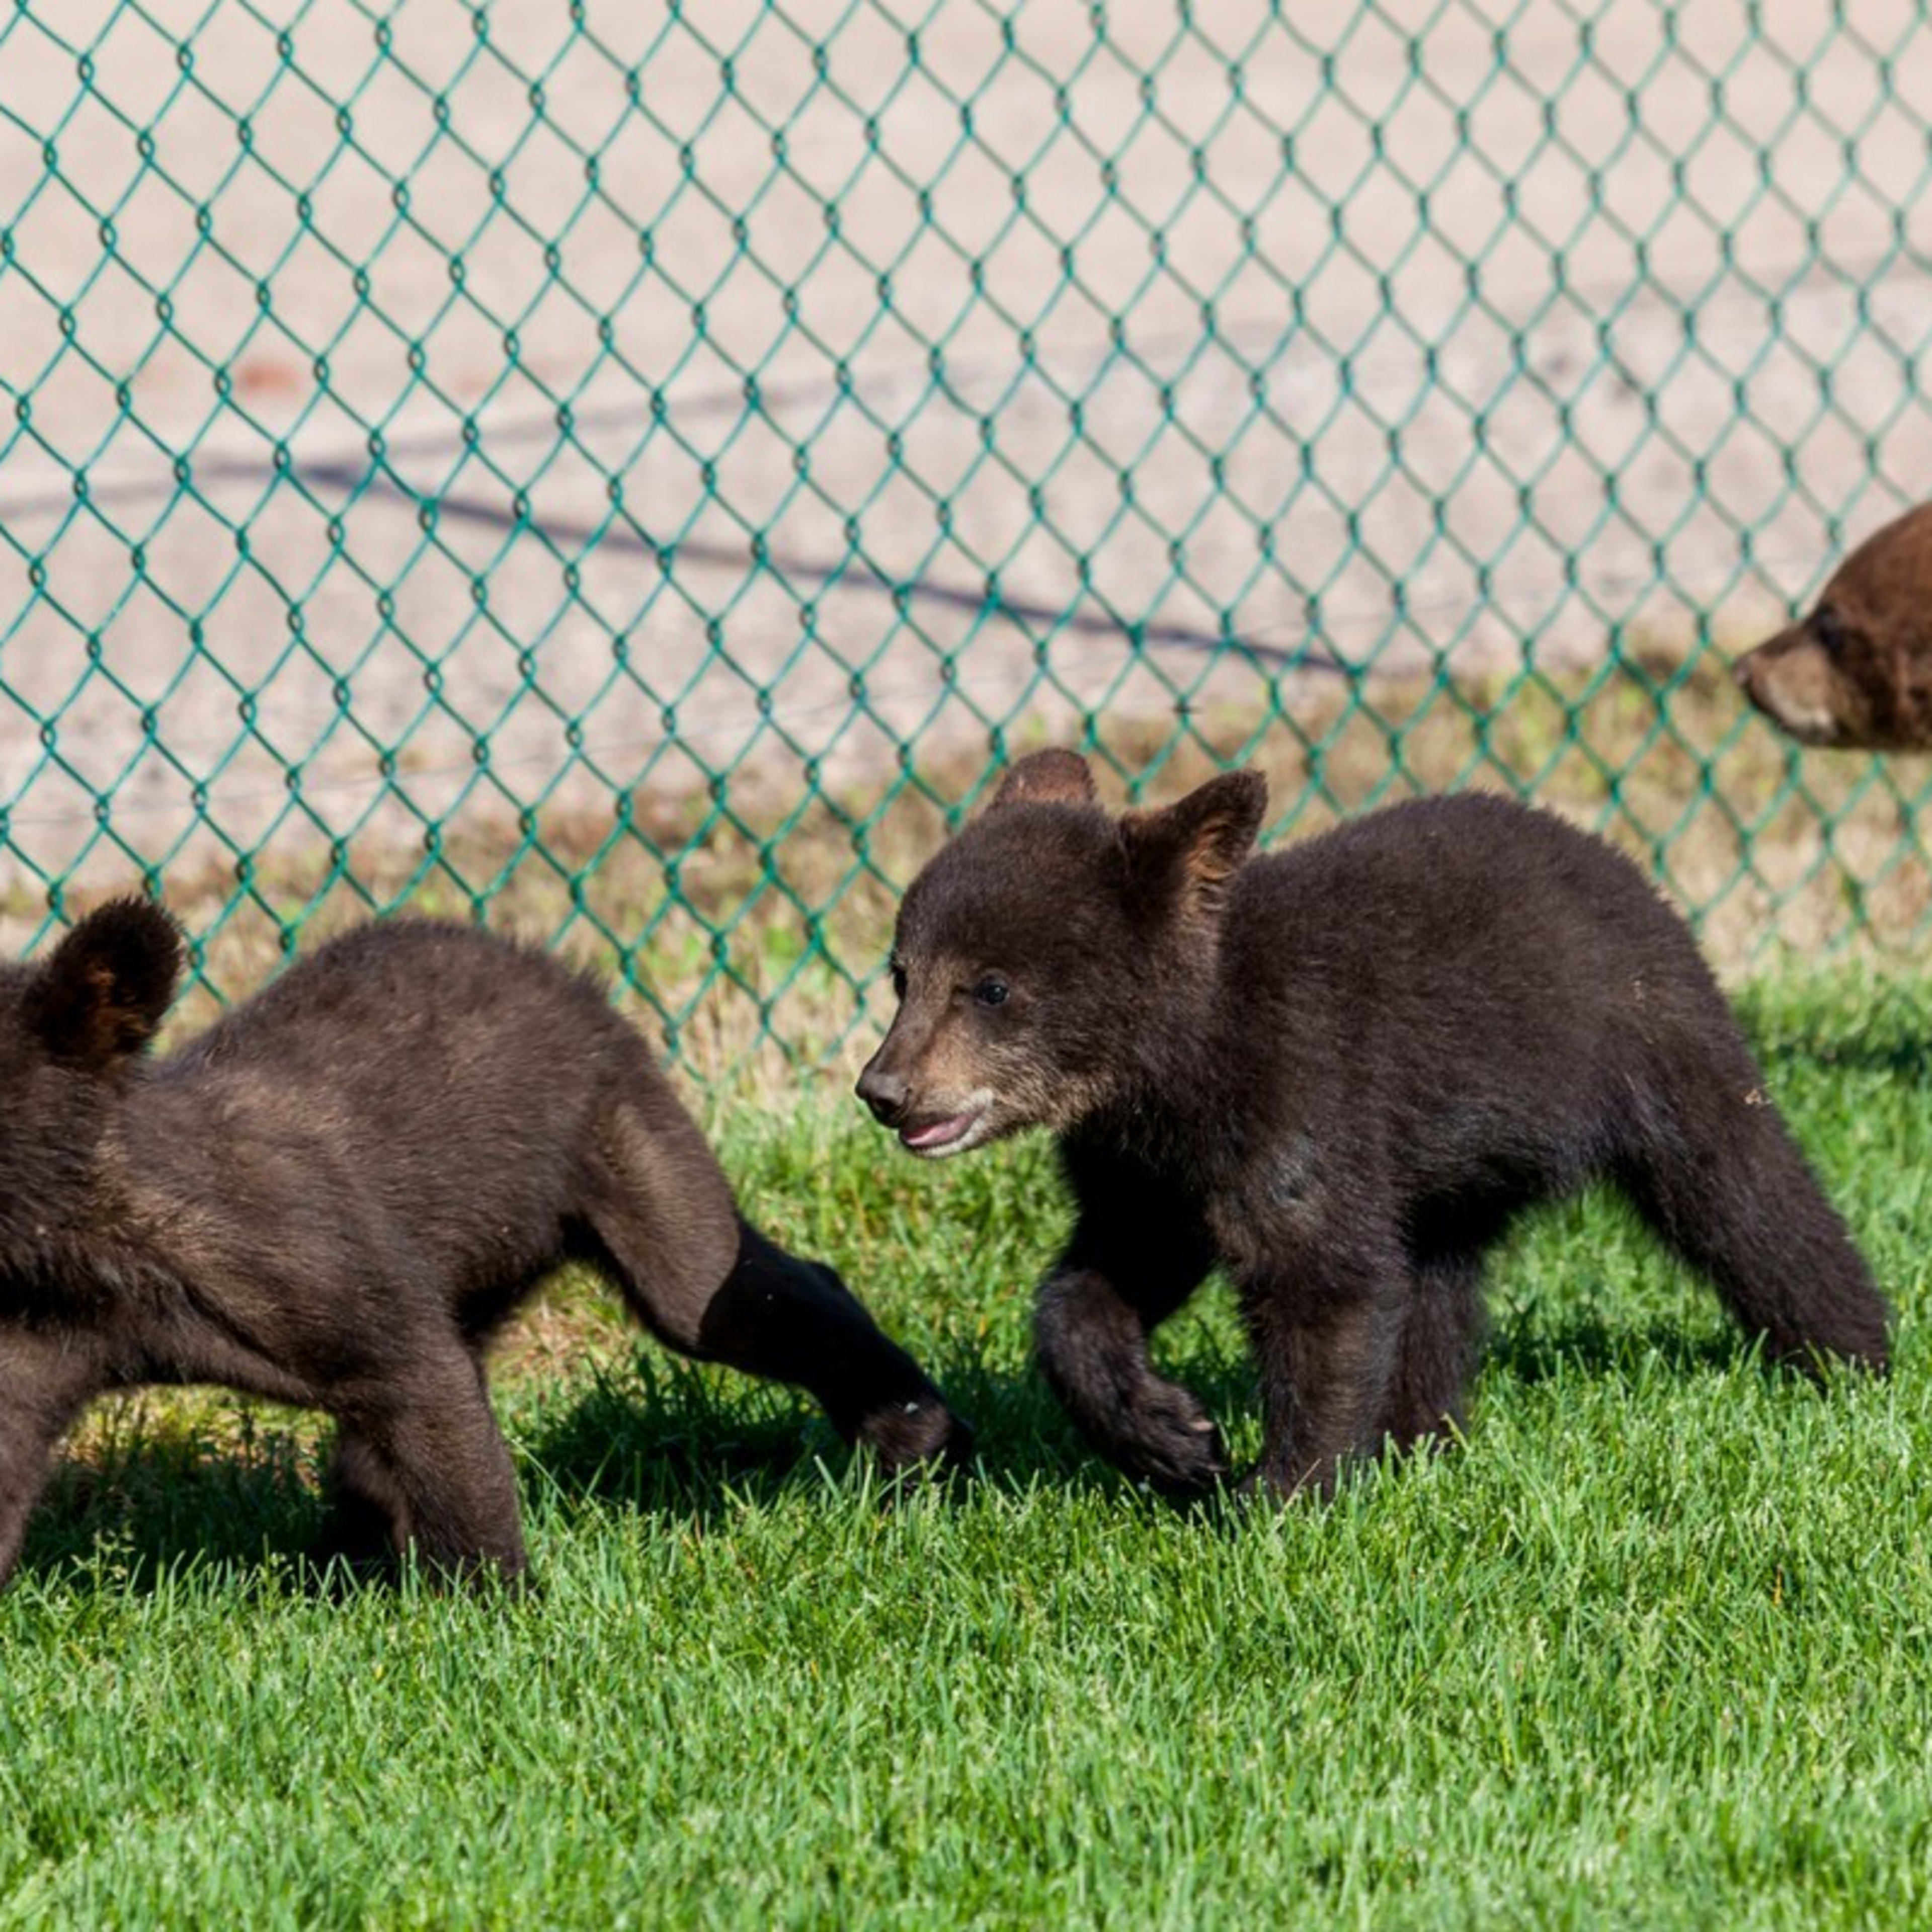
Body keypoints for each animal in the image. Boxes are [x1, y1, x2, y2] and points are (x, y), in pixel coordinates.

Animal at [0, 904, 969, 1588]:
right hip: (474, 1267)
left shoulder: (342, 1291)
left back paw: (917, 1439)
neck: (92, 1248)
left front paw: (492, 1619)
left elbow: (452, 1462)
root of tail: (553, 963)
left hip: (636, 1168)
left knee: (747, 1289)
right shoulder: (32, 1341)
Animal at [856, 751, 1889, 1501]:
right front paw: (1171, 1435)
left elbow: (1326, 1283)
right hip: (1450, 1172)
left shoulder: (1302, 1100)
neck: (1172, 1074)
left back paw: (1854, 1358)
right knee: (1436, 1281)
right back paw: (1419, 1440)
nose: (884, 1088)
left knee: (1750, 1196)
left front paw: (1278, 1497)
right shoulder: (1146, 1172)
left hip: (1660, 1051)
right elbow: (1101, 1281)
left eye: (992, 987)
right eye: (902, 974)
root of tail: (1626, 865)